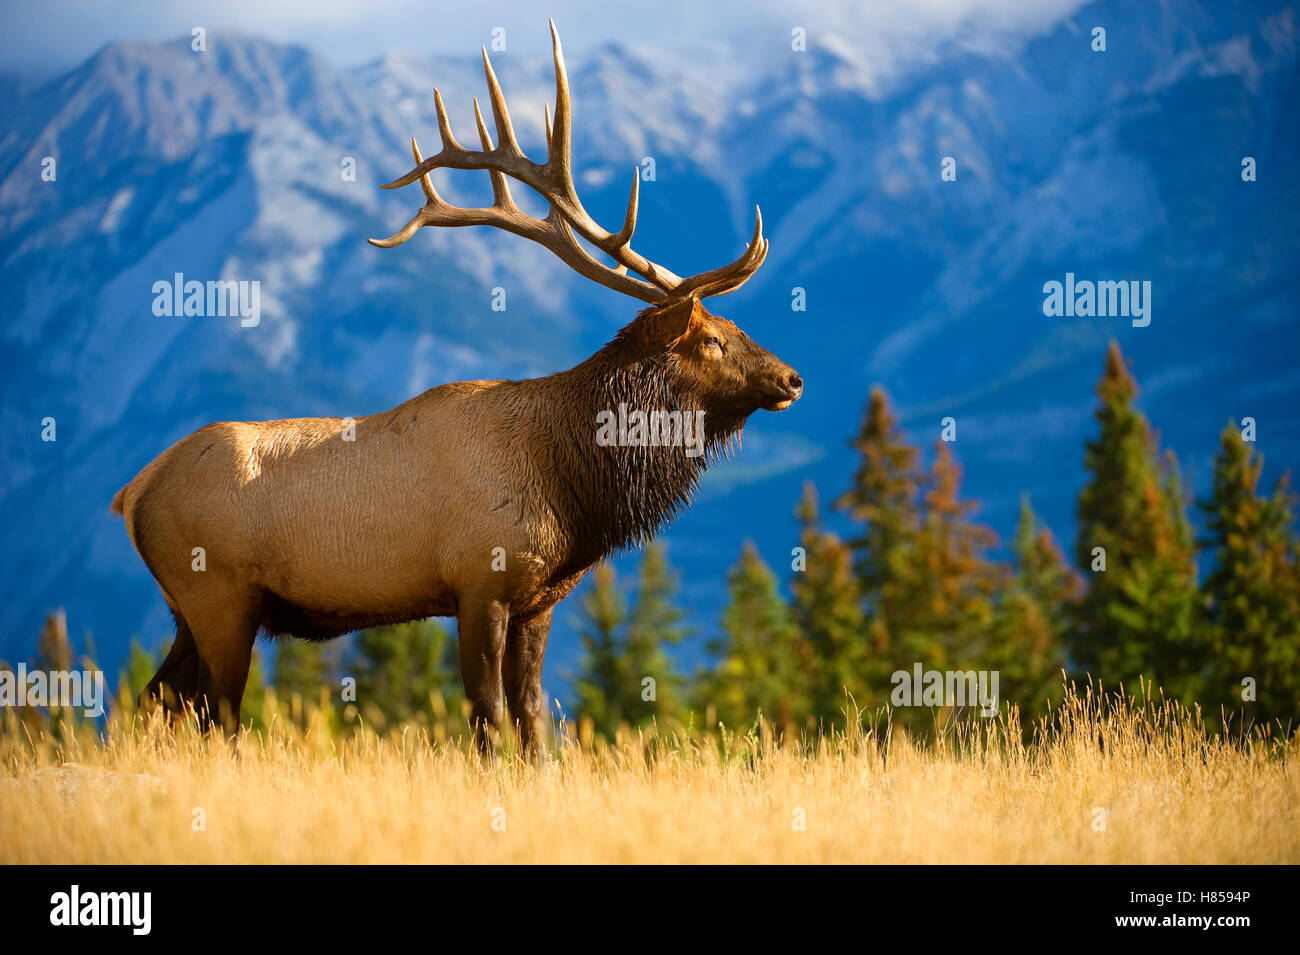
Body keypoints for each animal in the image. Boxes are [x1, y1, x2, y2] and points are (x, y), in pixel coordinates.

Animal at [113, 21, 802, 753]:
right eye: (712, 338)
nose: (792, 377)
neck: (571, 486)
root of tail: (132, 492)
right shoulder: (479, 582)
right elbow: (487, 715)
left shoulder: (538, 599)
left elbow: (531, 715)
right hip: (220, 596)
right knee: (215, 712)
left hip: (187, 609)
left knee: (158, 697)